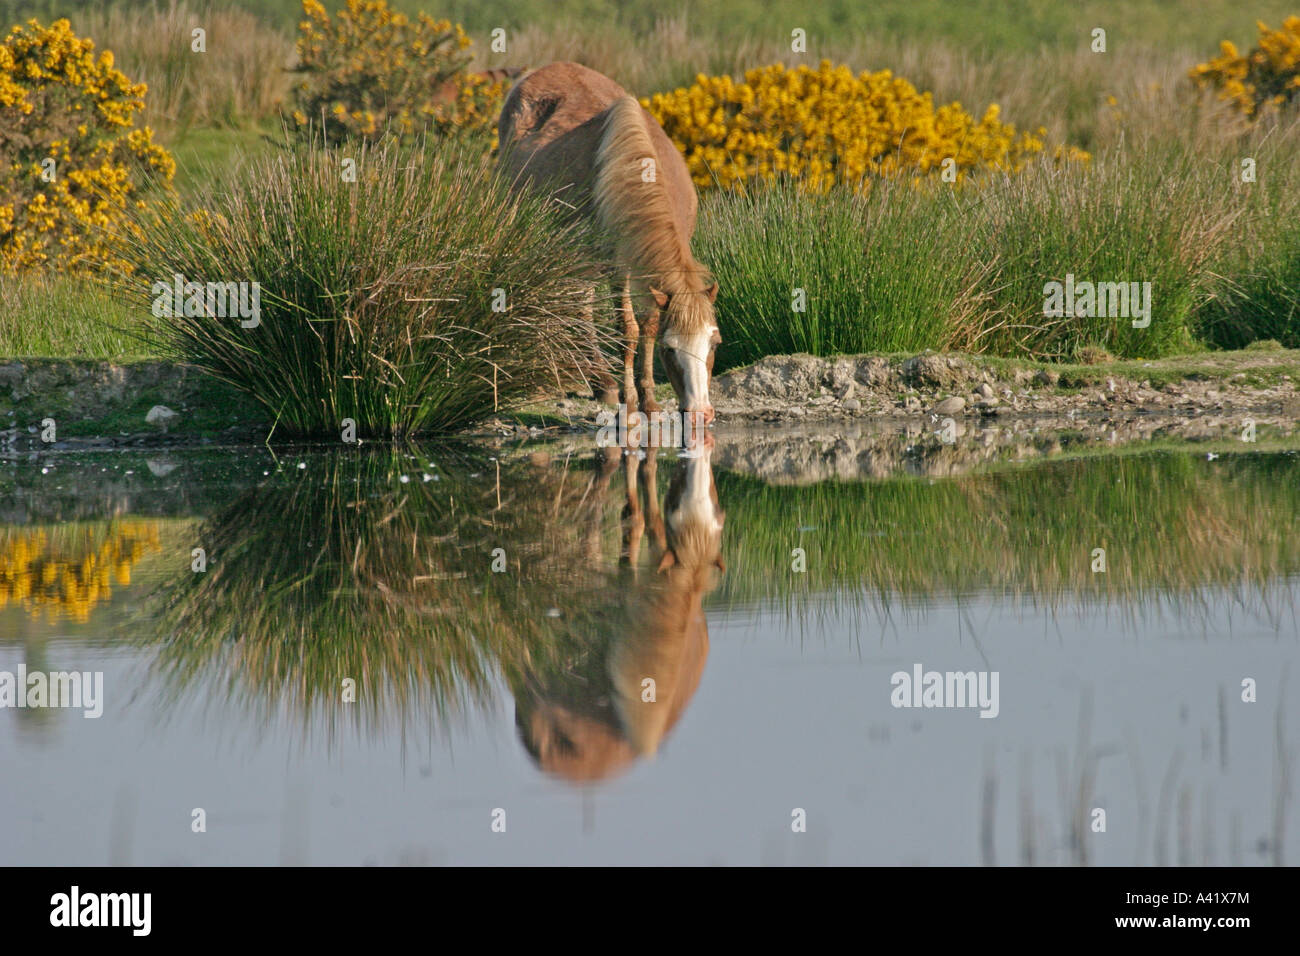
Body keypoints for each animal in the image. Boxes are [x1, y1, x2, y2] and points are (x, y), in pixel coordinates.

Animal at [497, 62, 721, 425]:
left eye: (714, 343)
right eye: (670, 350)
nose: (700, 412)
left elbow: (648, 325)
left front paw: (649, 400)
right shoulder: (619, 268)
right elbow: (627, 330)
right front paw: (630, 401)